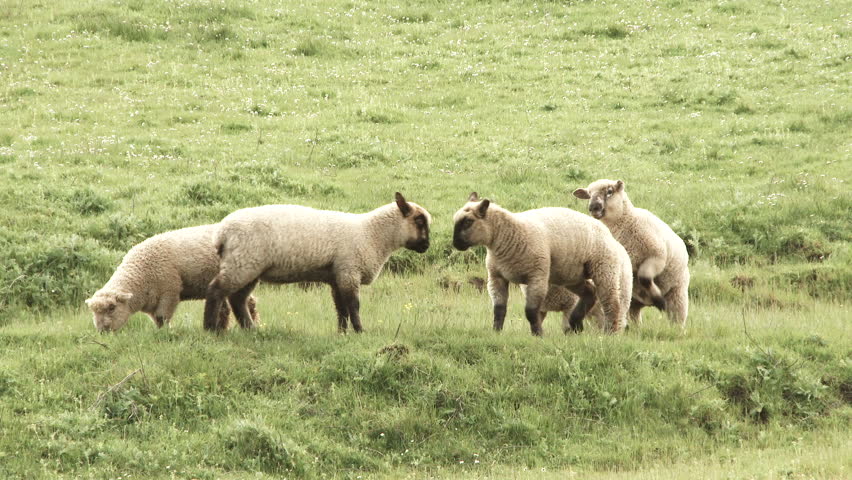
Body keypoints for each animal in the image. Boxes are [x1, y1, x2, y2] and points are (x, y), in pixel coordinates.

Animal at [86, 224, 259, 332]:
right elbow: (157, 320)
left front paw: (167, 334)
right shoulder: (152, 302)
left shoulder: (169, 291)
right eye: (93, 311)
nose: (102, 331)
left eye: (112, 307)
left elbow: (163, 317)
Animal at [203, 192, 432, 333]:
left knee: (237, 299)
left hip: (248, 267)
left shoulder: (337, 276)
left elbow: (341, 308)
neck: (372, 233)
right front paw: (360, 331)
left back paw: (250, 329)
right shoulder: (349, 270)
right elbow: (354, 305)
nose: (427, 246)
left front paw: (342, 333)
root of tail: (221, 233)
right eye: (420, 221)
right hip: (242, 263)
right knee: (216, 290)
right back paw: (210, 329)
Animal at [452, 193, 632, 335]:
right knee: (590, 292)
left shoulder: (536, 276)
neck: (507, 236)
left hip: (604, 269)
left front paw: (537, 334)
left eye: (468, 222)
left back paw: (609, 333)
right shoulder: (496, 277)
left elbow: (531, 311)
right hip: (571, 275)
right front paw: (496, 332)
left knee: (611, 303)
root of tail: (608, 233)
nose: (455, 244)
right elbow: (499, 309)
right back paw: (576, 324)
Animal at [573, 179, 690, 326]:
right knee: (634, 317)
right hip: (632, 302)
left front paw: (658, 298)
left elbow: (644, 278)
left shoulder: (657, 257)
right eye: (589, 195)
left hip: (677, 293)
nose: (593, 207)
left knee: (677, 318)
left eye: (610, 191)